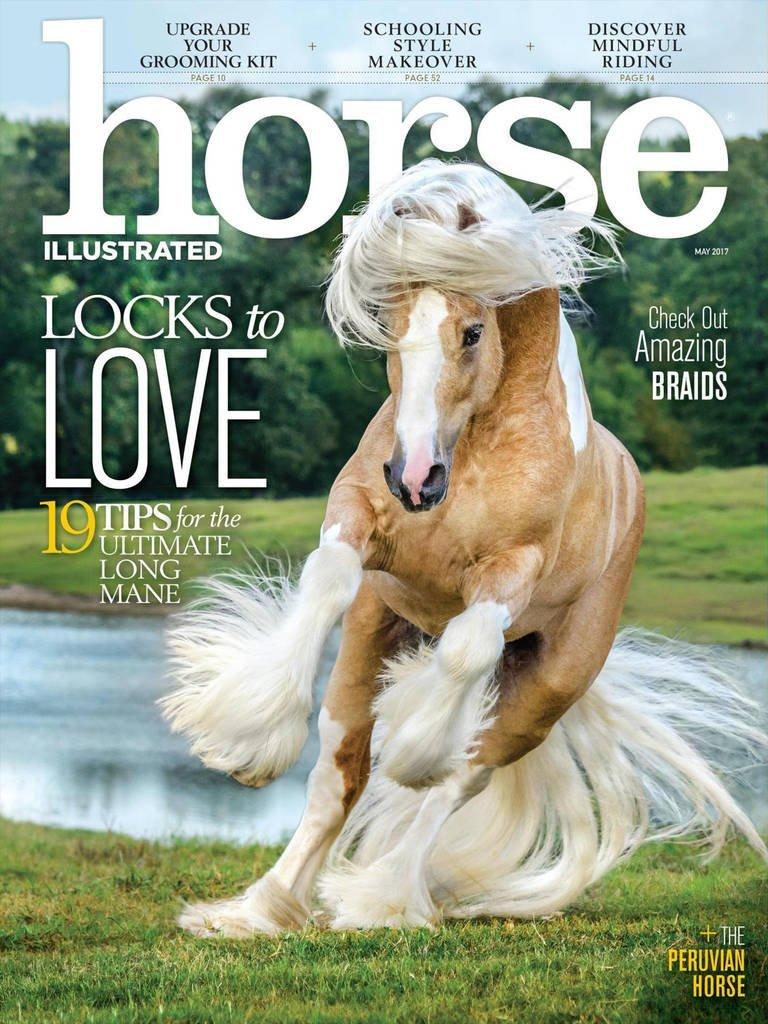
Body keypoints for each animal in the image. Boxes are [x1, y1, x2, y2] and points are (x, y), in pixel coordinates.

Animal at [162, 160, 766, 937]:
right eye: (391, 329)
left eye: (474, 332)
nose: (415, 478)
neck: (476, 445)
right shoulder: (358, 517)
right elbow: (327, 578)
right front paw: (249, 734)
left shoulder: (511, 570)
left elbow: (462, 659)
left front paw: (414, 744)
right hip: (375, 630)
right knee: (340, 772)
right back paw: (262, 908)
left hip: (546, 691)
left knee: (457, 781)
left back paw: (382, 897)